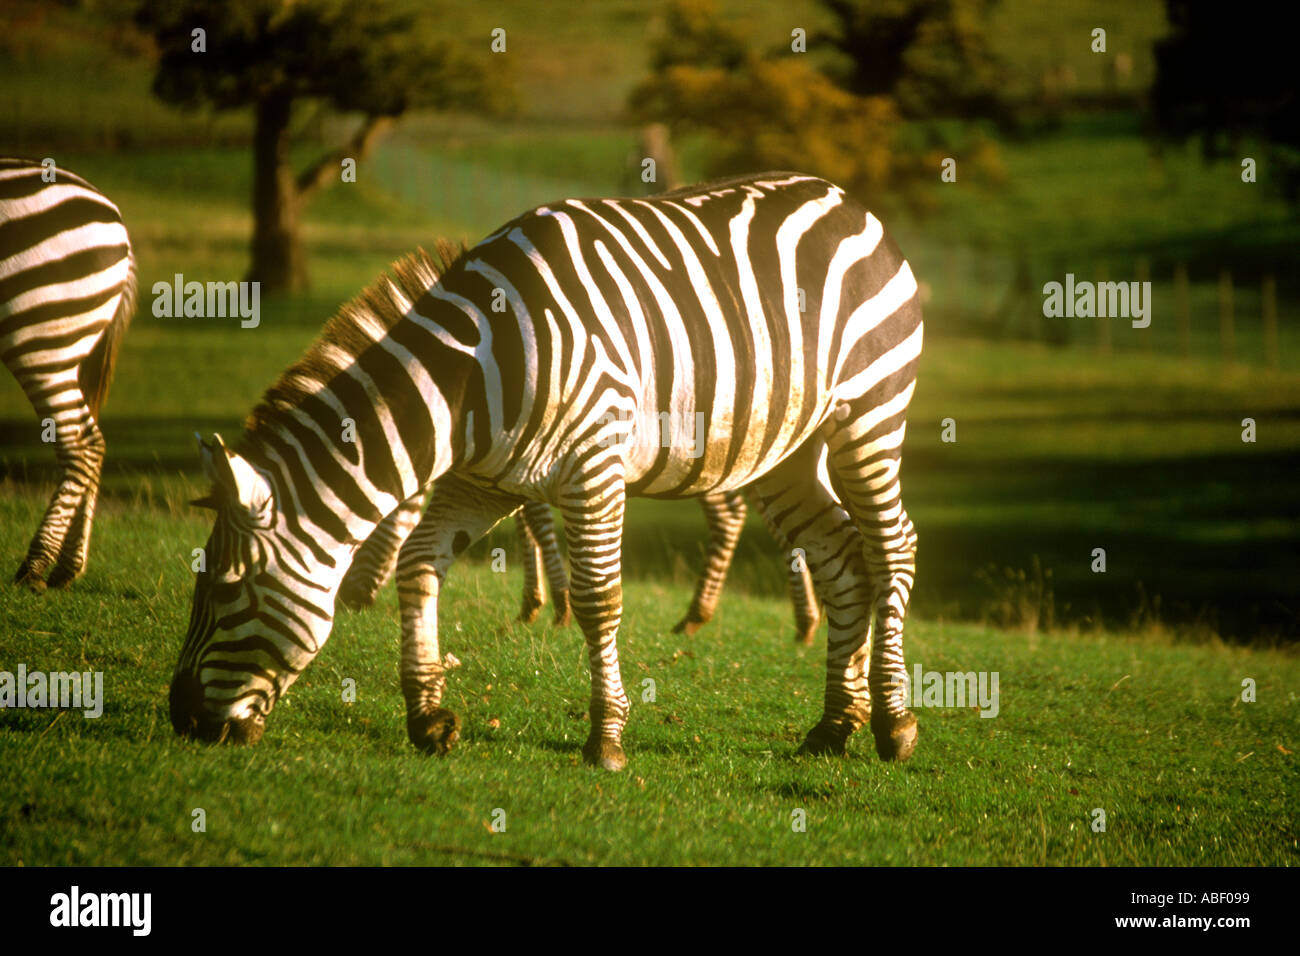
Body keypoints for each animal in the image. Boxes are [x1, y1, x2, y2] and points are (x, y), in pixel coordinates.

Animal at [1, 158, 136, 591]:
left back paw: (35, 566)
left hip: (40, 334)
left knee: (79, 444)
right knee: (93, 439)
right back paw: (67, 566)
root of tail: (114, 216)